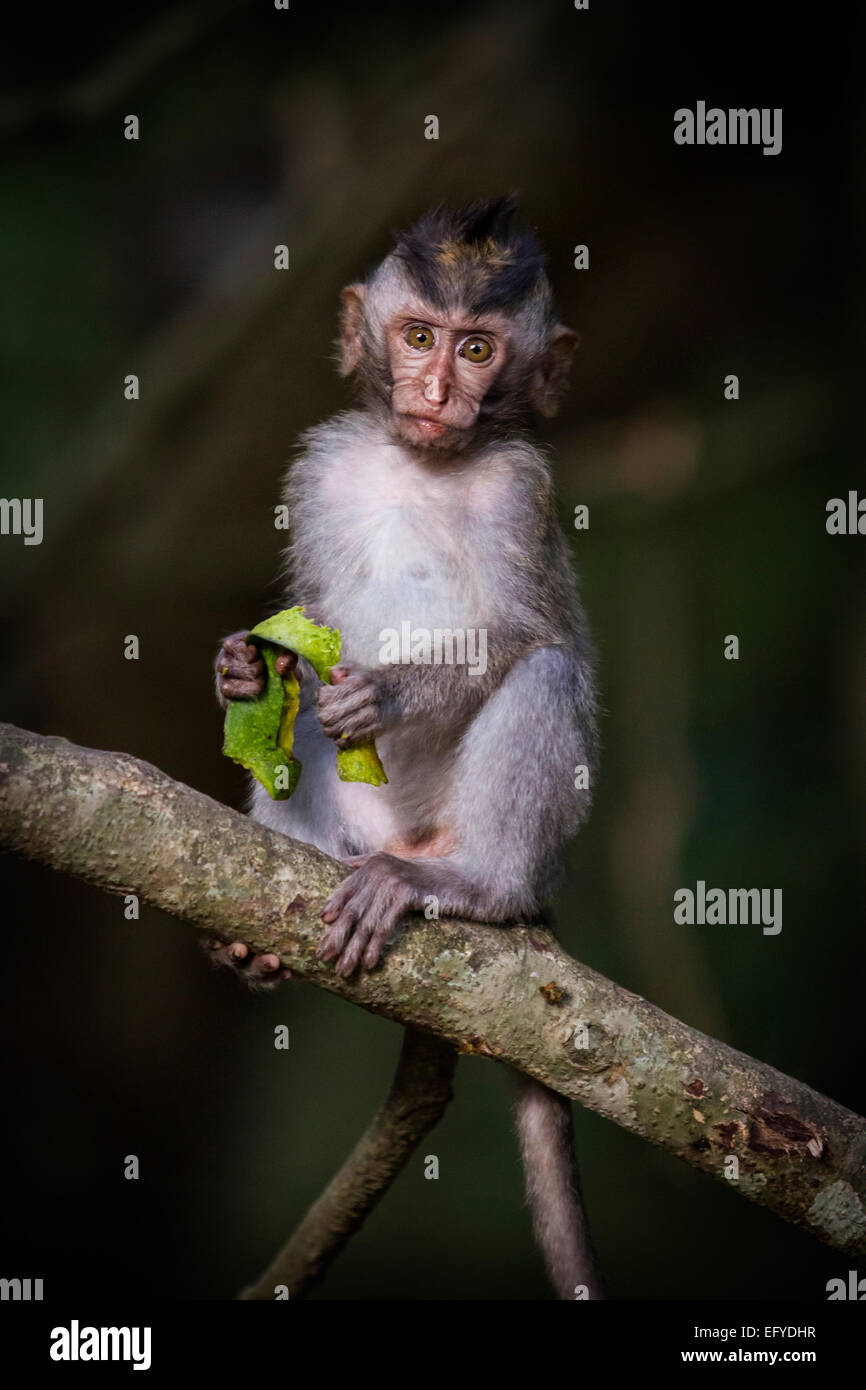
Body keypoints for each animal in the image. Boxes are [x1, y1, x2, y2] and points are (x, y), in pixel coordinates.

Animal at [212, 196, 604, 1300]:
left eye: (477, 350)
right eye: (420, 337)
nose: (434, 392)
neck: (419, 461)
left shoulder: (520, 484)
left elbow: (520, 634)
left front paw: (387, 692)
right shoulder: (320, 464)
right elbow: (306, 631)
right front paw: (244, 672)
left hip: (501, 841)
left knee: (544, 673)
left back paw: (469, 887)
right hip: (355, 828)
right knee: (301, 729)